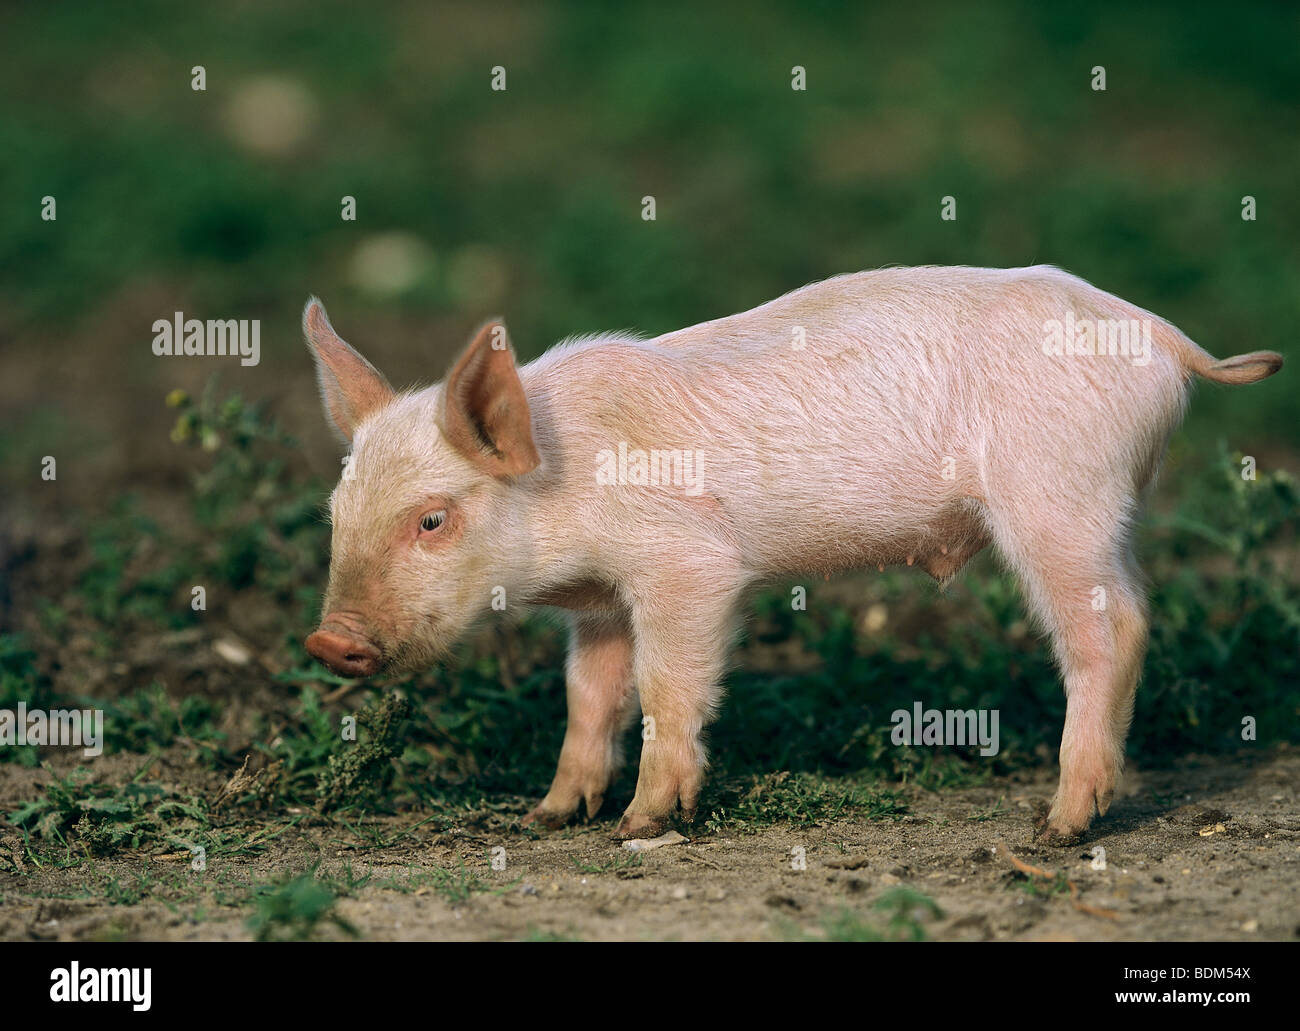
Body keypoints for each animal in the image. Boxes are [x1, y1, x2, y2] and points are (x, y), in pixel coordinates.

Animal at [302, 265, 1282, 844]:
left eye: (433, 519)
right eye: (335, 512)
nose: (328, 641)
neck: (563, 478)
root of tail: (1164, 335)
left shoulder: (687, 565)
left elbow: (668, 686)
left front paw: (639, 826)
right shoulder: (602, 599)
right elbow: (590, 693)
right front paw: (549, 815)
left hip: (1059, 501)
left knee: (1113, 628)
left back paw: (1058, 828)